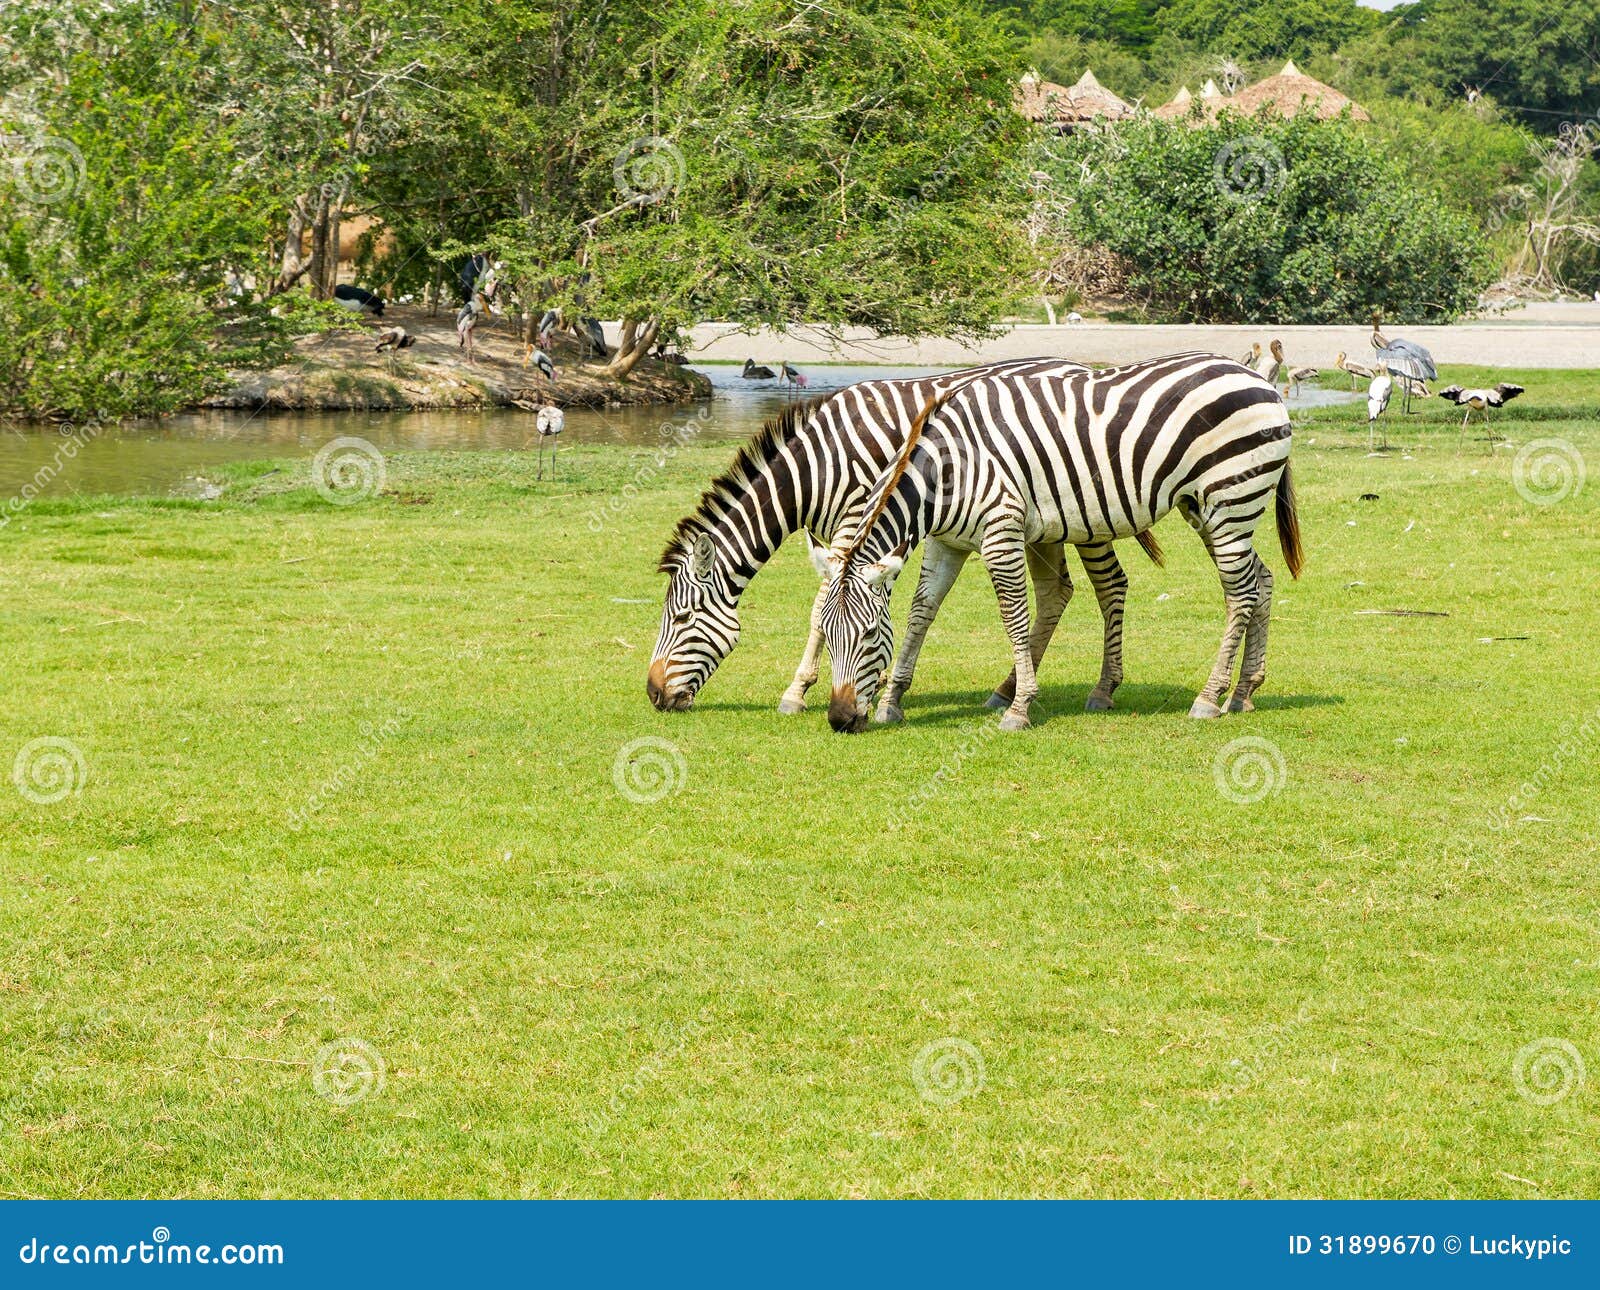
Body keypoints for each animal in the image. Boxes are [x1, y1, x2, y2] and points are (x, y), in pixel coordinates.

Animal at [648, 359, 1166, 716]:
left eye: (682, 618)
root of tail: (1076, 366)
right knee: (1056, 590)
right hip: (1043, 527)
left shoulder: (858, 518)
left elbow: (823, 608)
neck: (818, 466)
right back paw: (1006, 690)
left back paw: (1102, 689)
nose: (653, 695)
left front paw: (804, 692)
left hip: (1086, 515)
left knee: (1110, 585)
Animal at [813, 353, 1304, 733]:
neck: (948, 471)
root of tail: (1258, 378)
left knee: (1240, 593)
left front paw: (1018, 708)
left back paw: (1208, 697)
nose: (839, 719)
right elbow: (921, 613)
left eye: (869, 634)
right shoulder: (947, 542)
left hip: (1231, 500)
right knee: (1261, 580)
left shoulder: (1001, 533)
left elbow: (1013, 616)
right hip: (1207, 507)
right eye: (828, 635)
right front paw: (892, 702)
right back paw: (1243, 692)